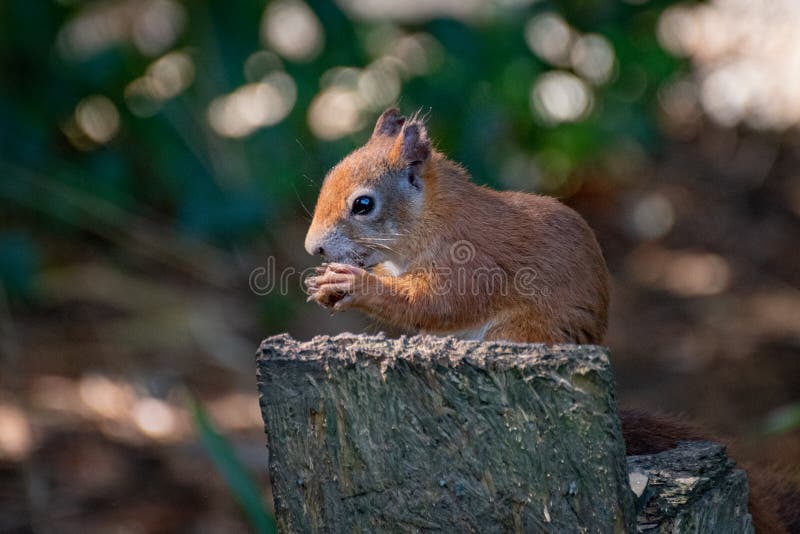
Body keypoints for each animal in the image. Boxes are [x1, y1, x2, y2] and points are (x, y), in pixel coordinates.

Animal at [304, 108, 797, 533]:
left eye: (363, 204)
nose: (314, 248)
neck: (431, 219)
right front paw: (325, 284)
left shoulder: (470, 261)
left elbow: (434, 305)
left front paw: (355, 285)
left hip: (522, 332)